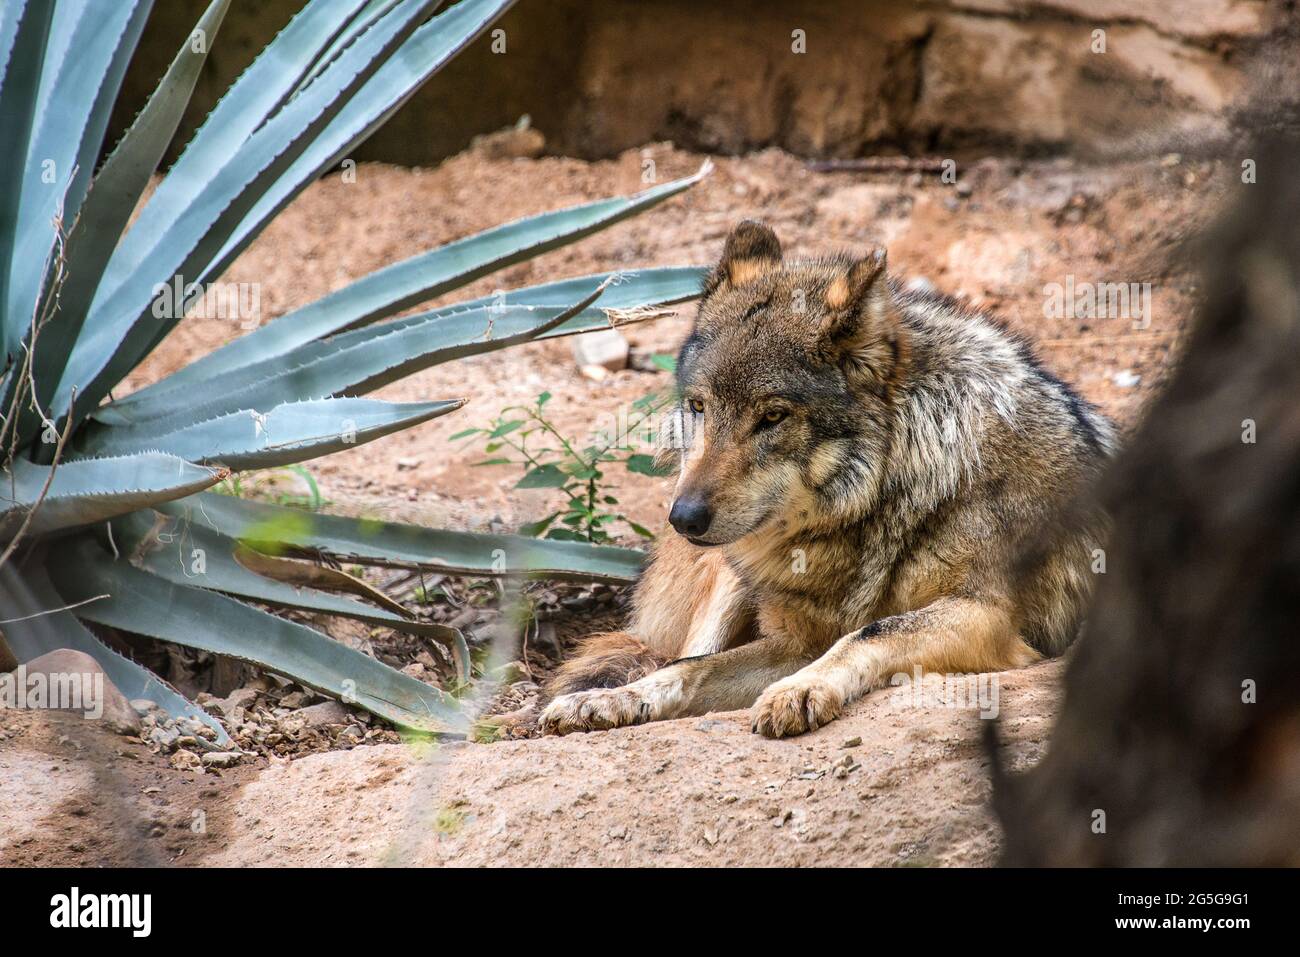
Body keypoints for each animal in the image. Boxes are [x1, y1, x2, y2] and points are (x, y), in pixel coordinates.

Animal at [537, 220, 1116, 738]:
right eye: (698, 407)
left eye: (772, 416)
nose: (683, 518)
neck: (887, 494)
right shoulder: (795, 640)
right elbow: (688, 669)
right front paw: (613, 700)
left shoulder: (986, 615)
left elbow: (869, 632)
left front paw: (799, 689)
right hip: (729, 575)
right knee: (671, 652)